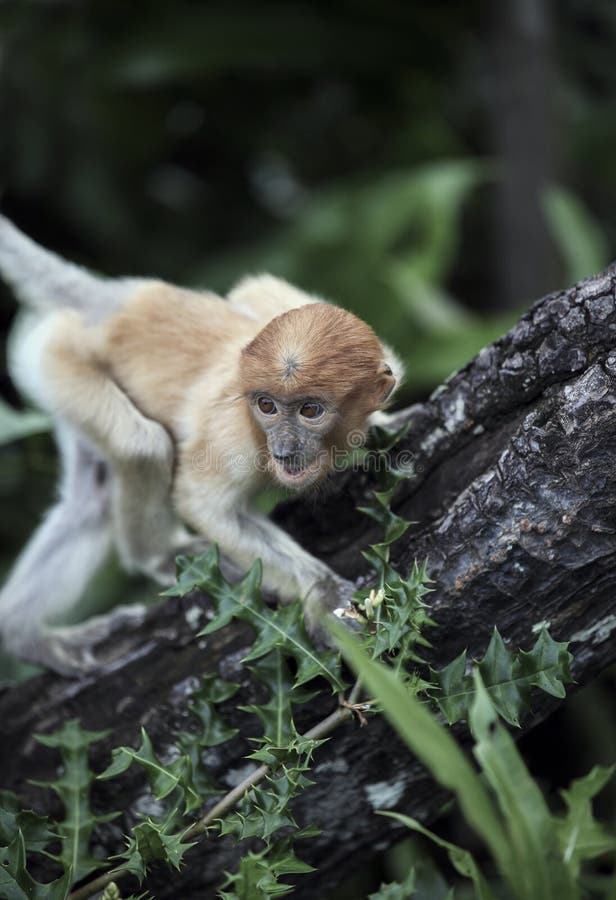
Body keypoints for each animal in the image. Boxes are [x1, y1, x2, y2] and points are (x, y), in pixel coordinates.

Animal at [0, 214, 402, 675]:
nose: (283, 449)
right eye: (266, 406)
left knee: (90, 502)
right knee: (142, 445)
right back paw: (158, 556)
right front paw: (323, 596)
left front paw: (391, 420)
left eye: (310, 411)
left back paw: (24, 638)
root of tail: (111, 302)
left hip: (53, 374)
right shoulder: (233, 438)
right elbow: (204, 506)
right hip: (62, 362)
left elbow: (253, 287)